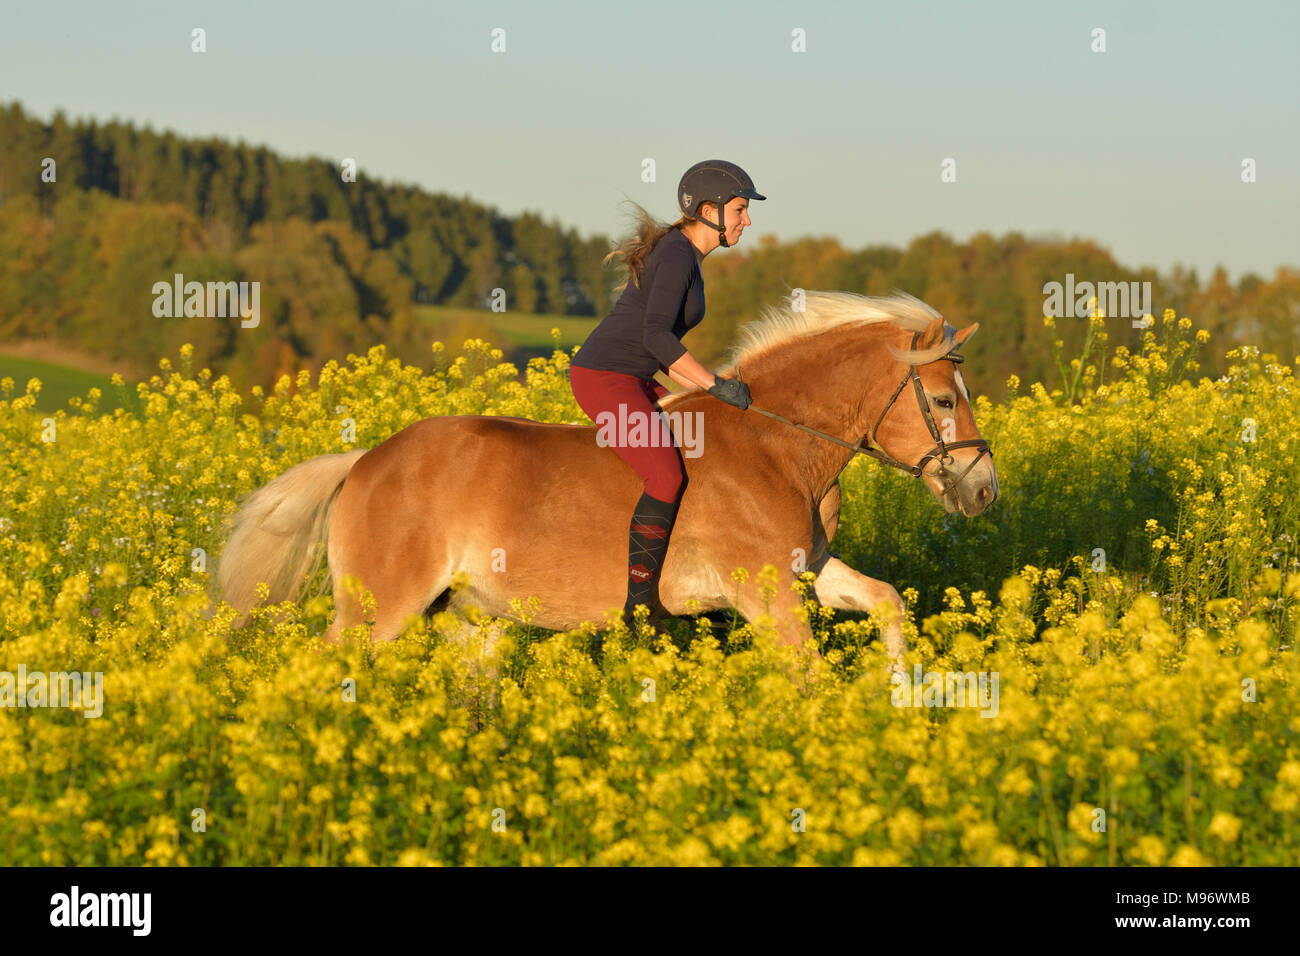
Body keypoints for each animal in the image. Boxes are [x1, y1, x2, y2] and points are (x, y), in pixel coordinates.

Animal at [214, 291, 997, 668]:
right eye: (944, 399)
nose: (983, 488)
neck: (778, 443)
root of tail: (365, 462)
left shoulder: (807, 573)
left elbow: (888, 603)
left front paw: (894, 698)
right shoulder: (767, 596)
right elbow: (808, 677)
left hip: (469, 619)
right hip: (378, 612)